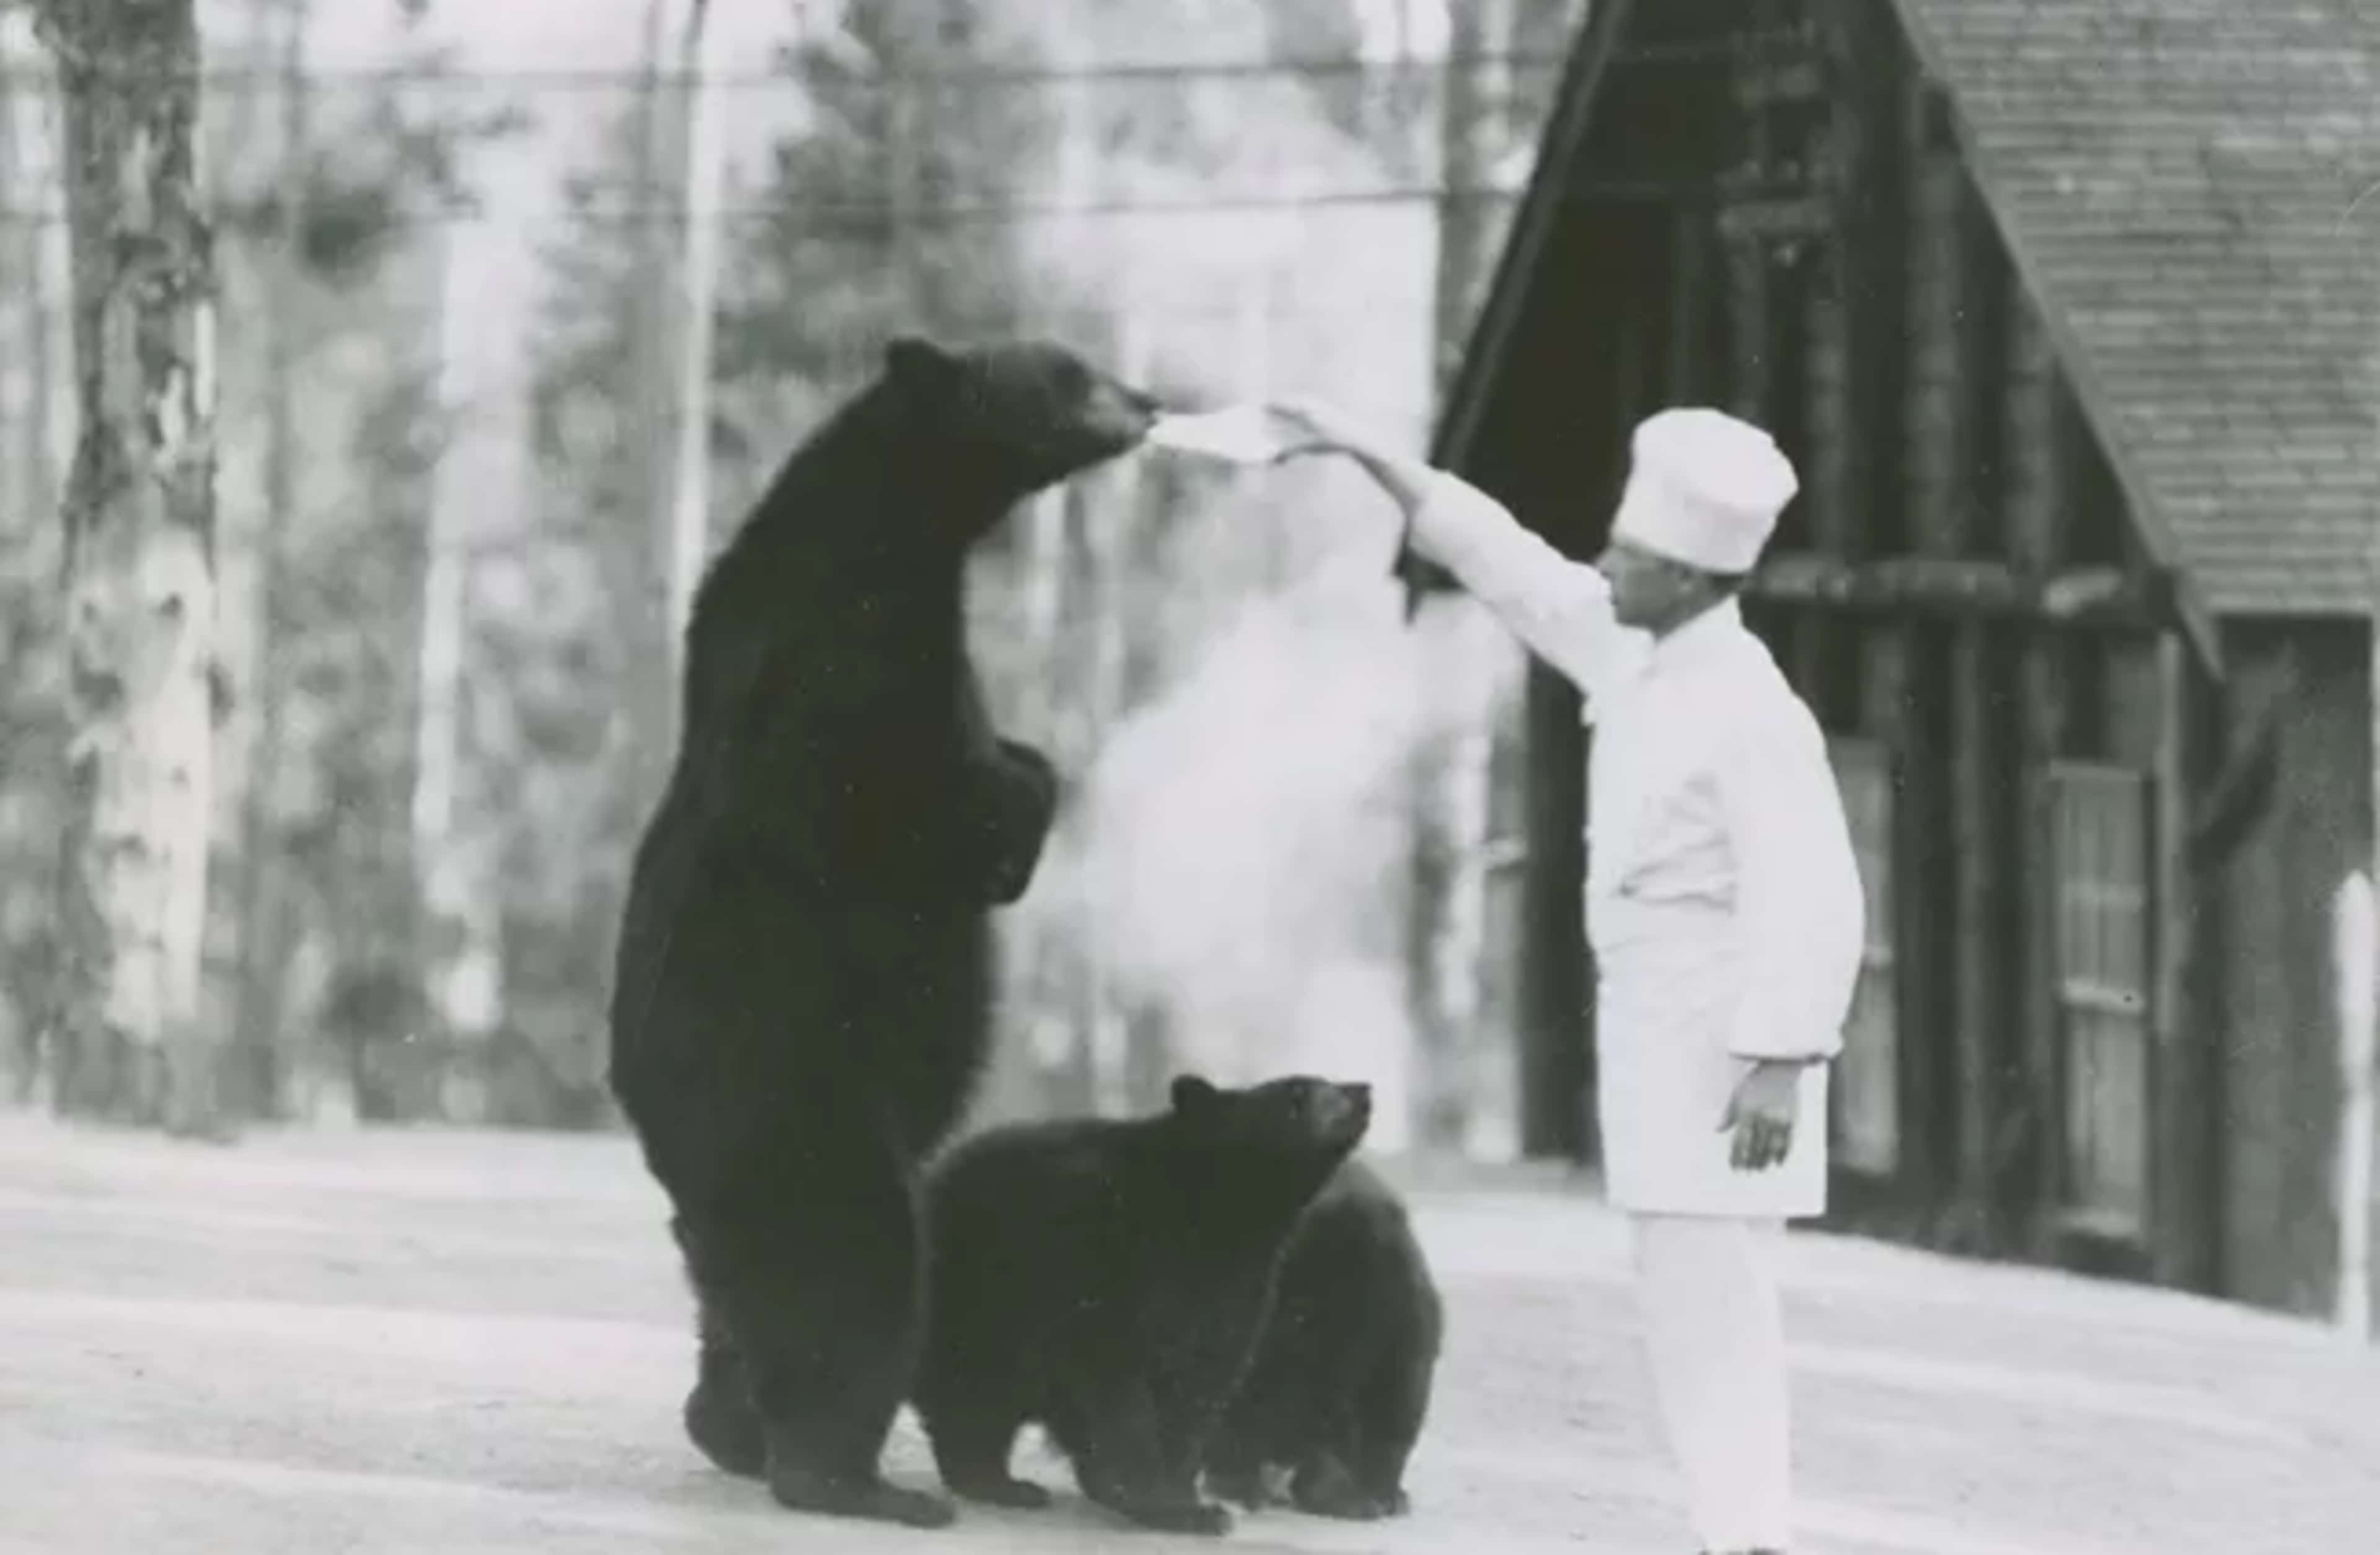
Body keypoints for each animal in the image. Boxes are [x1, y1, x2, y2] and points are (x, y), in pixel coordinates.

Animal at [605, 334, 1158, 1530]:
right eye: (1067, 371)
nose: (1149, 401)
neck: (894, 520)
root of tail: (654, 1127)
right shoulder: (853, 665)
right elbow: (939, 801)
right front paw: (1024, 798)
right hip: (803, 1112)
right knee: (854, 1270)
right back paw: (857, 1478)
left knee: (740, 1305)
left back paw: (730, 1426)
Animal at [912, 1074, 1373, 1537]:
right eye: (1298, 1094)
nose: (1362, 1091)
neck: (1218, 1224)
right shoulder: (1111, 1274)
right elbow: (1121, 1395)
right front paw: (1163, 1503)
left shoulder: (1232, 1296)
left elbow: (1197, 1392)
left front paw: (1186, 1500)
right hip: (982, 1303)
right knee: (972, 1397)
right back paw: (999, 1483)